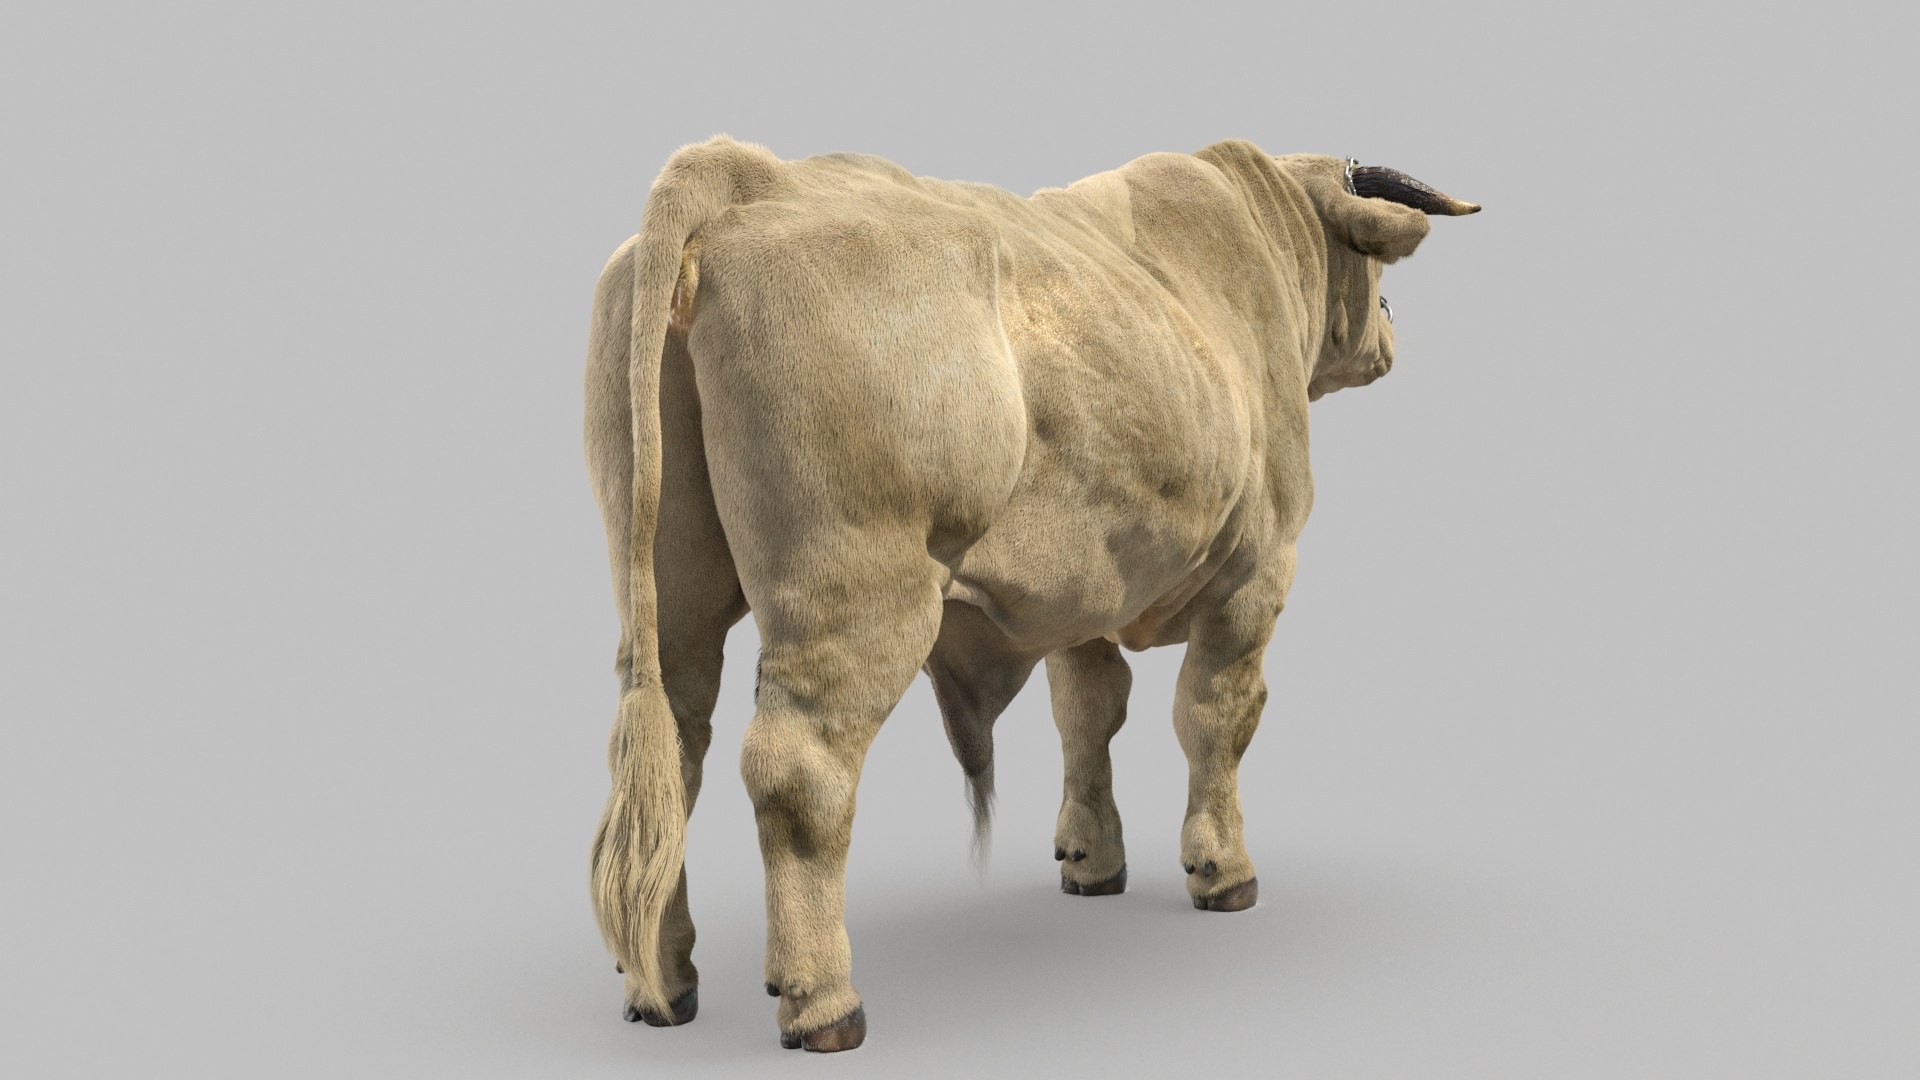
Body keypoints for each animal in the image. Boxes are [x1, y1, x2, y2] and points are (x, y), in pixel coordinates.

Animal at [582, 135, 1479, 1052]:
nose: (1391, 331)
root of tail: (750, 172)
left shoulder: (1084, 582)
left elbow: (1088, 711)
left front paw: (1091, 860)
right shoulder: (1259, 570)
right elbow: (1216, 715)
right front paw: (1222, 869)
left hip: (668, 590)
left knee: (668, 754)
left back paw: (663, 986)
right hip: (854, 596)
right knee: (797, 768)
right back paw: (823, 1001)